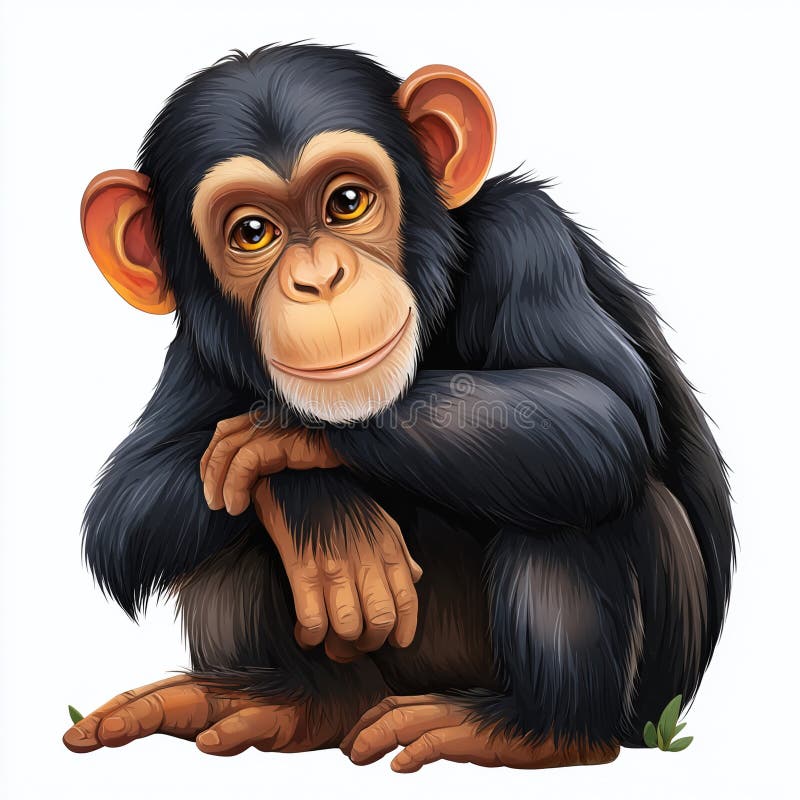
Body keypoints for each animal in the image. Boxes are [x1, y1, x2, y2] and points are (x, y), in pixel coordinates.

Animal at [63, 44, 734, 772]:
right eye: (252, 232)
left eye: (347, 202)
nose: (319, 280)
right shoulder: (193, 354)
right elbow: (125, 508)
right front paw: (326, 519)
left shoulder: (528, 235)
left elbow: (597, 411)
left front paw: (283, 444)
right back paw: (289, 703)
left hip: (647, 697)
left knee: (579, 487)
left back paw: (533, 730)